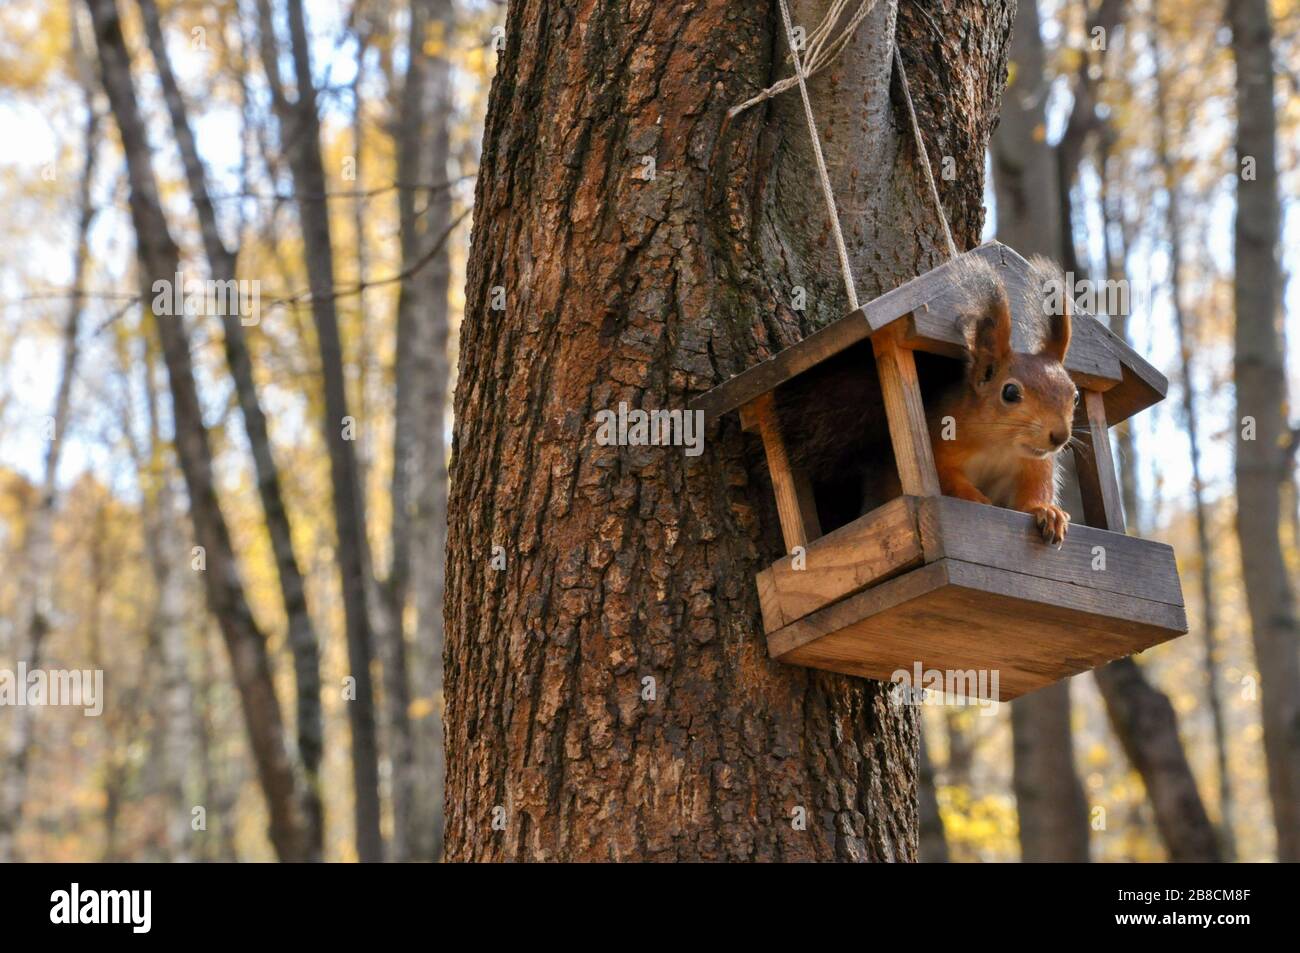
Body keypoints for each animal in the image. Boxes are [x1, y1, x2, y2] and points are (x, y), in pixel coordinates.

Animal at [776, 256, 1077, 544]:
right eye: (1010, 393)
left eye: (1074, 396)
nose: (1059, 436)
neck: (999, 446)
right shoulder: (939, 441)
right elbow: (945, 477)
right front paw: (974, 498)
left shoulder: (1034, 465)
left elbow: (1035, 490)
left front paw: (1047, 511)